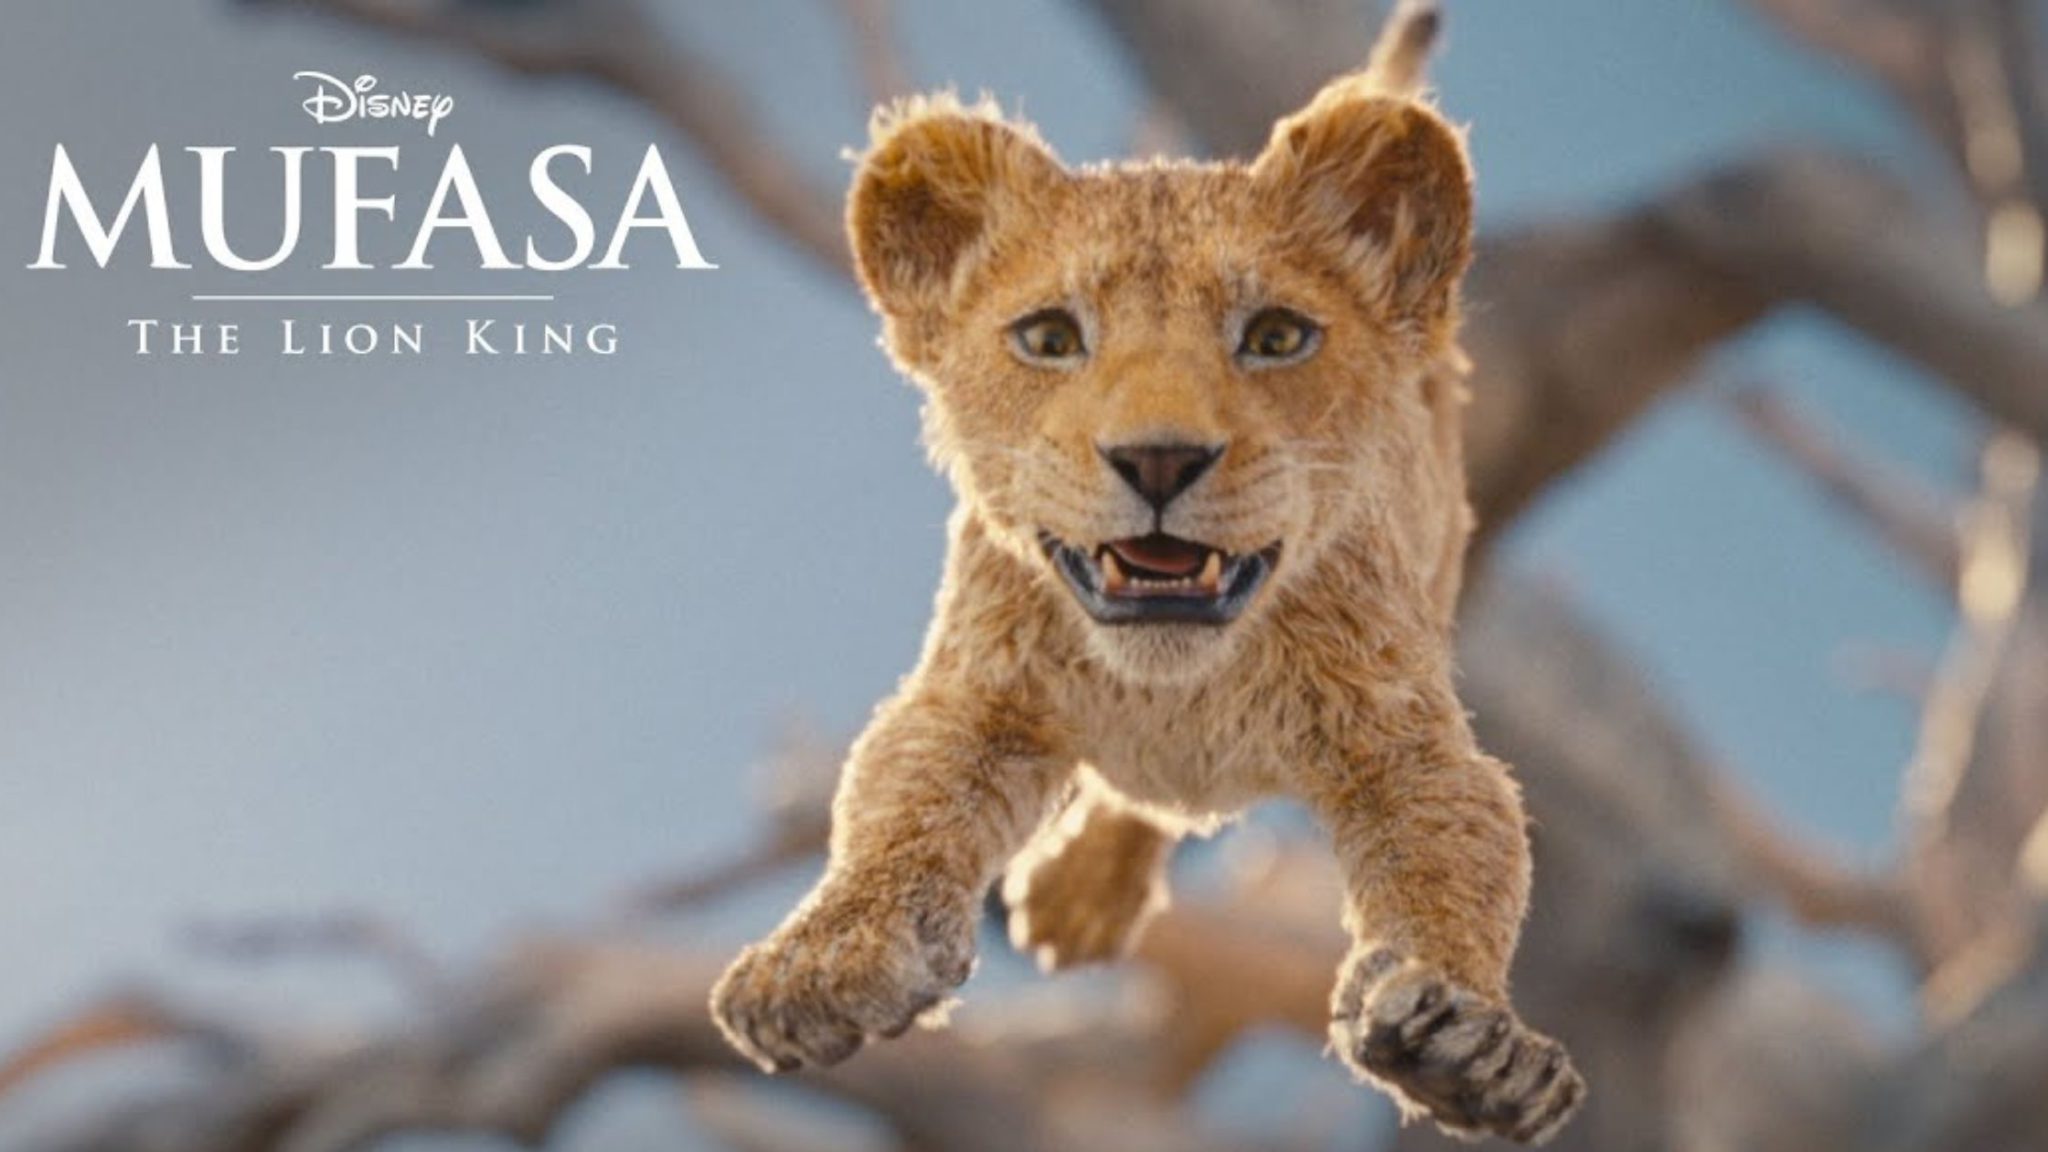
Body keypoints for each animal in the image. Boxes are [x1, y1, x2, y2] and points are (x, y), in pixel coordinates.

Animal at [710, 6, 1585, 1143]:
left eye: (1275, 336)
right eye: (1048, 336)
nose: (1159, 460)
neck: (1181, 684)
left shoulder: (1403, 737)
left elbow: (1456, 861)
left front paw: (1468, 1045)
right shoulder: (975, 691)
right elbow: (896, 807)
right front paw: (820, 965)